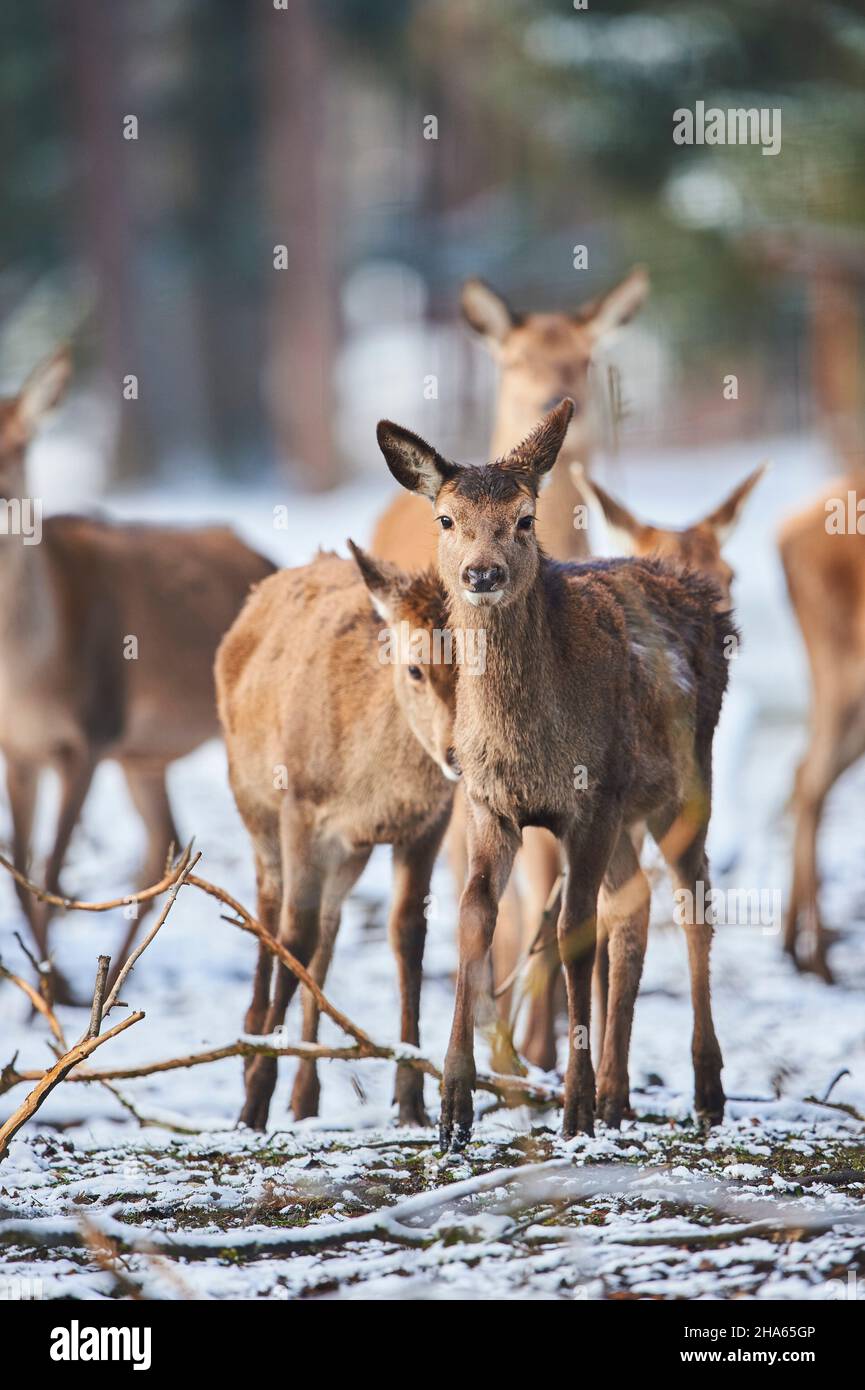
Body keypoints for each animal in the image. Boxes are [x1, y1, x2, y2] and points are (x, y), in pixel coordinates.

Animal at [0, 348, 275, 998]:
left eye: (22, 442)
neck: (25, 680)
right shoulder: (18, 752)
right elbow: (22, 875)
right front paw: (47, 992)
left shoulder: (91, 734)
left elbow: (51, 874)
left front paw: (56, 992)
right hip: (143, 756)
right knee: (163, 849)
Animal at [215, 546, 459, 1131]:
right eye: (415, 668)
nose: (456, 755)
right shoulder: (300, 807)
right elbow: (294, 937)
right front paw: (253, 1102)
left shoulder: (428, 823)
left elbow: (408, 935)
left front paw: (412, 1100)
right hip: (252, 802)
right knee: (270, 910)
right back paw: (252, 1038)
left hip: (350, 853)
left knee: (329, 931)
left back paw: (307, 1096)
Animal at [376, 400, 734, 1147]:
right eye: (445, 519)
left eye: (524, 517)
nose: (482, 574)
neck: (529, 748)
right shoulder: (489, 804)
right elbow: (474, 919)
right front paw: (454, 1107)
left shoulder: (589, 797)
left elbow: (572, 932)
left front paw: (571, 1108)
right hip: (628, 809)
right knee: (634, 905)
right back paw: (618, 1095)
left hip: (684, 783)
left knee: (692, 904)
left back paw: (704, 1089)